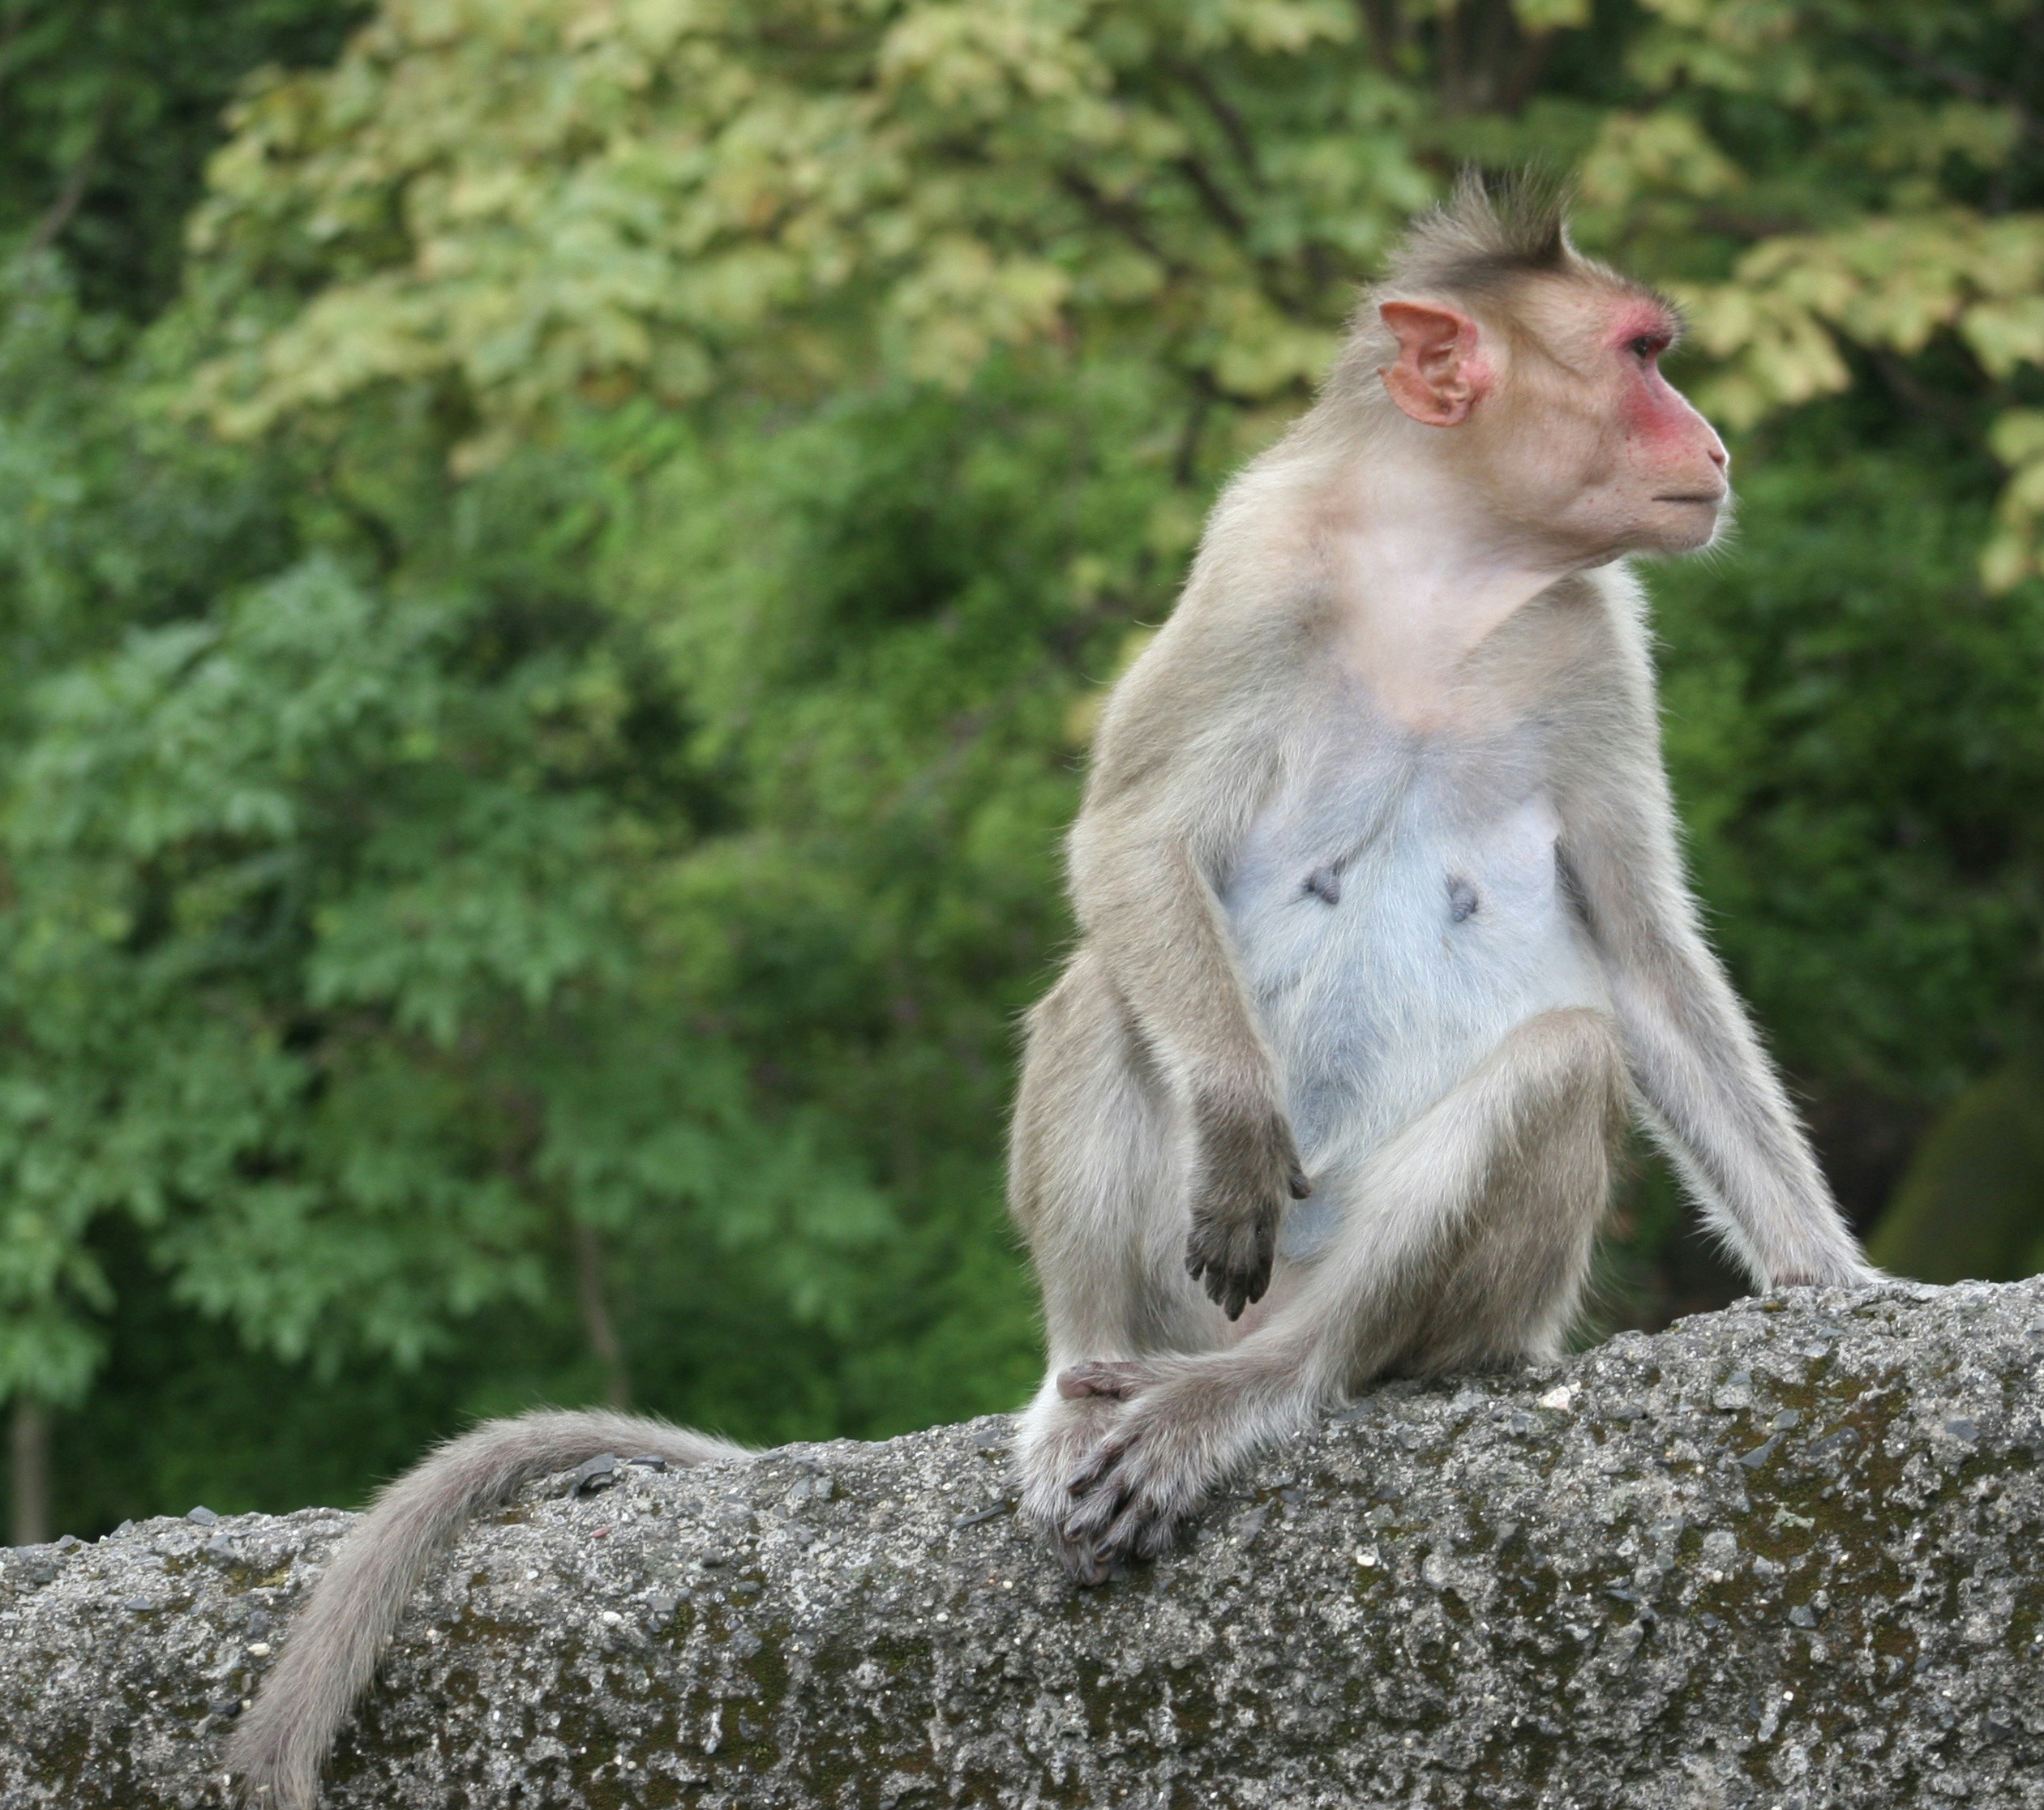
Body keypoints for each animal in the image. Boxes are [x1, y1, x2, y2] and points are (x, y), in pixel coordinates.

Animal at [1006, 171, 1878, 1586]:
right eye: (1642, 357)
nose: (1714, 447)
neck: (1449, 568)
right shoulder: (1256, 561)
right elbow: (1129, 839)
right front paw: (1239, 1117)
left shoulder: (1599, 642)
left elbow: (1638, 959)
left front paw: (1838, 1281)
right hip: (1177, 1289)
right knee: (1108, 985)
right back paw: (1078, 1380)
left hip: (1448, 1313)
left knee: (1559, 1065)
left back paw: (1258, 1391)